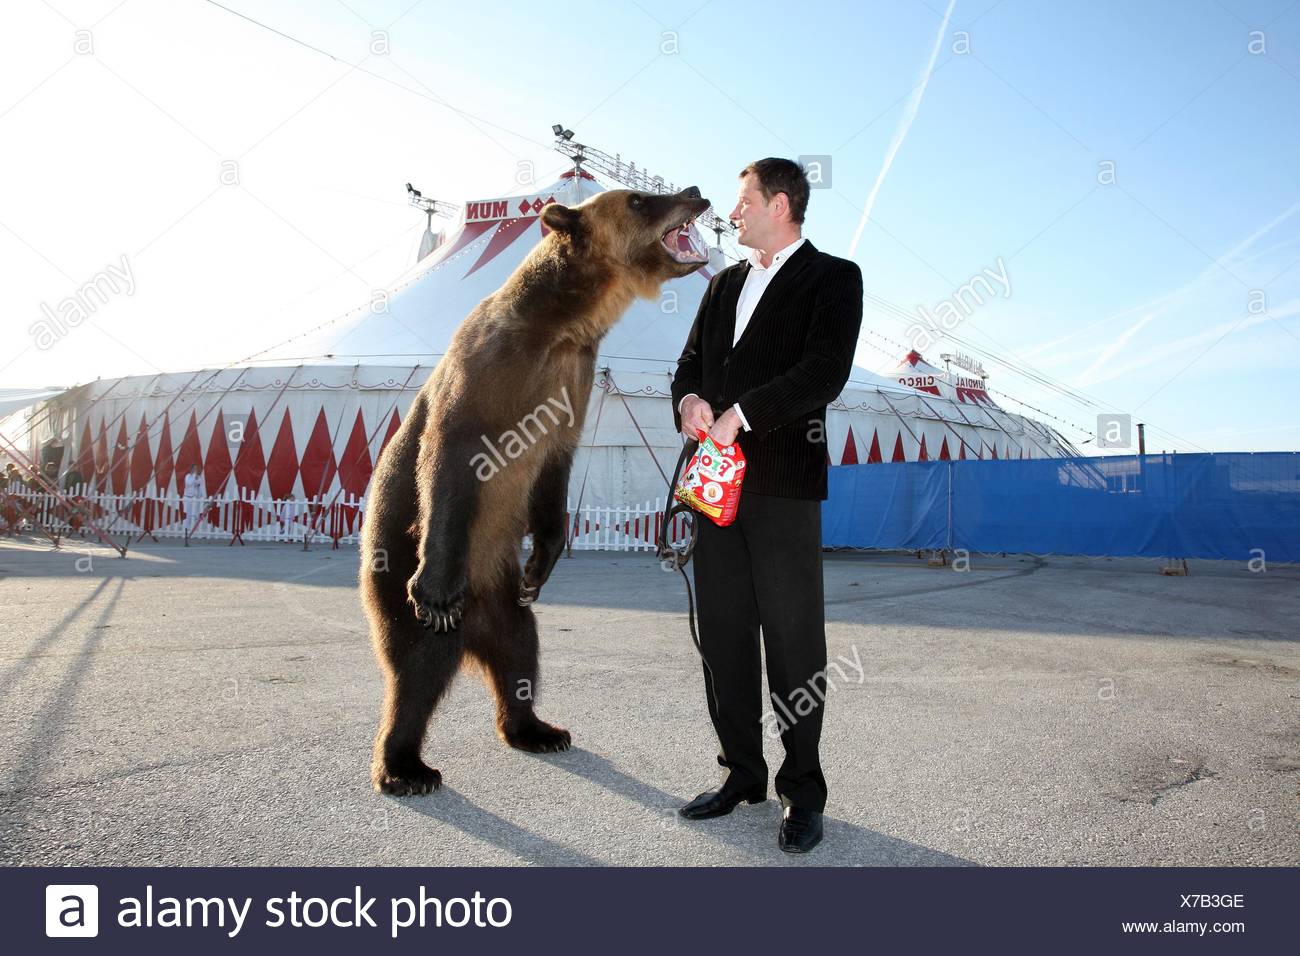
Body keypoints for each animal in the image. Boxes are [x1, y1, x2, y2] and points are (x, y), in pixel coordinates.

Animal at [362, 185, 713, 795]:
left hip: (503, 600)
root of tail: (476, 624)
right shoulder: (487, 368)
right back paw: (405, 766)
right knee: (417, 665)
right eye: (640, 200)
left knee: (521, 653)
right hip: (396, 569)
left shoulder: (571, 384)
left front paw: (542, 561)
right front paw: (435, 591)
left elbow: (552, 473)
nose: (694, 192)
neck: (564, 325)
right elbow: (449, 456)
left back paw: (537, 727)